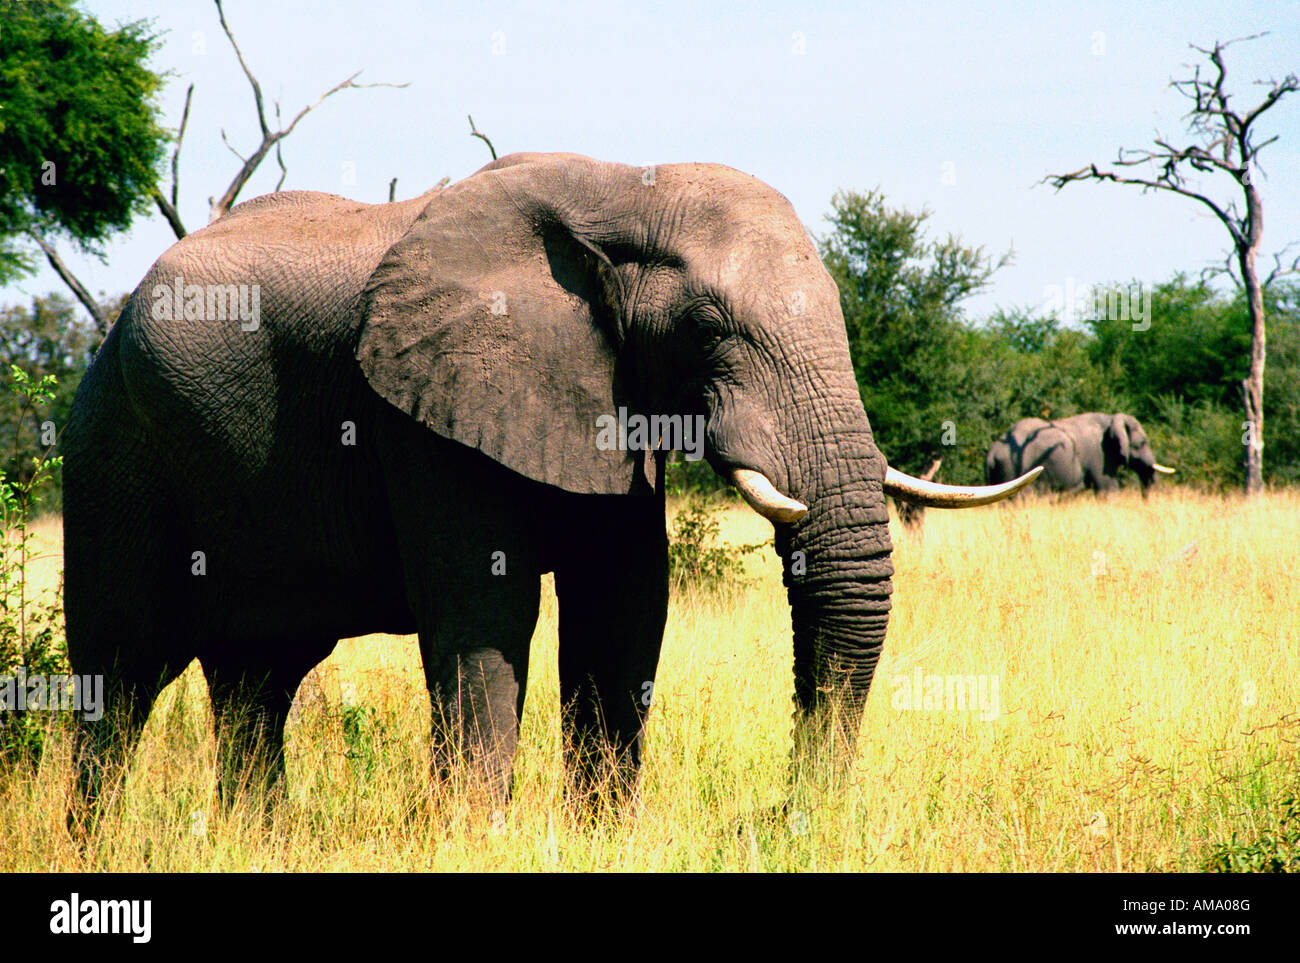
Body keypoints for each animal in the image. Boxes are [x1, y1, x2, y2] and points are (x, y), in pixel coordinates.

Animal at [62, 151, 1040, 822]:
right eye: (709, 329)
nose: (784, 811)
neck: (627, 188)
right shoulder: (422, 413)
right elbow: (486, 612)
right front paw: (477, 836)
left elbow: (626, 602)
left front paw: (604, 831)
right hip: (112, 444)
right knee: (121, 671)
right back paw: (95, 838)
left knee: (256, 679)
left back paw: (253, 835)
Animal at [985, 412, 1174, 494]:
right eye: (1142, 443)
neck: (1111, 418)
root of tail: (991, 453)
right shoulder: (1100, 453)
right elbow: (1108, 487)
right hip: (1013, 466)